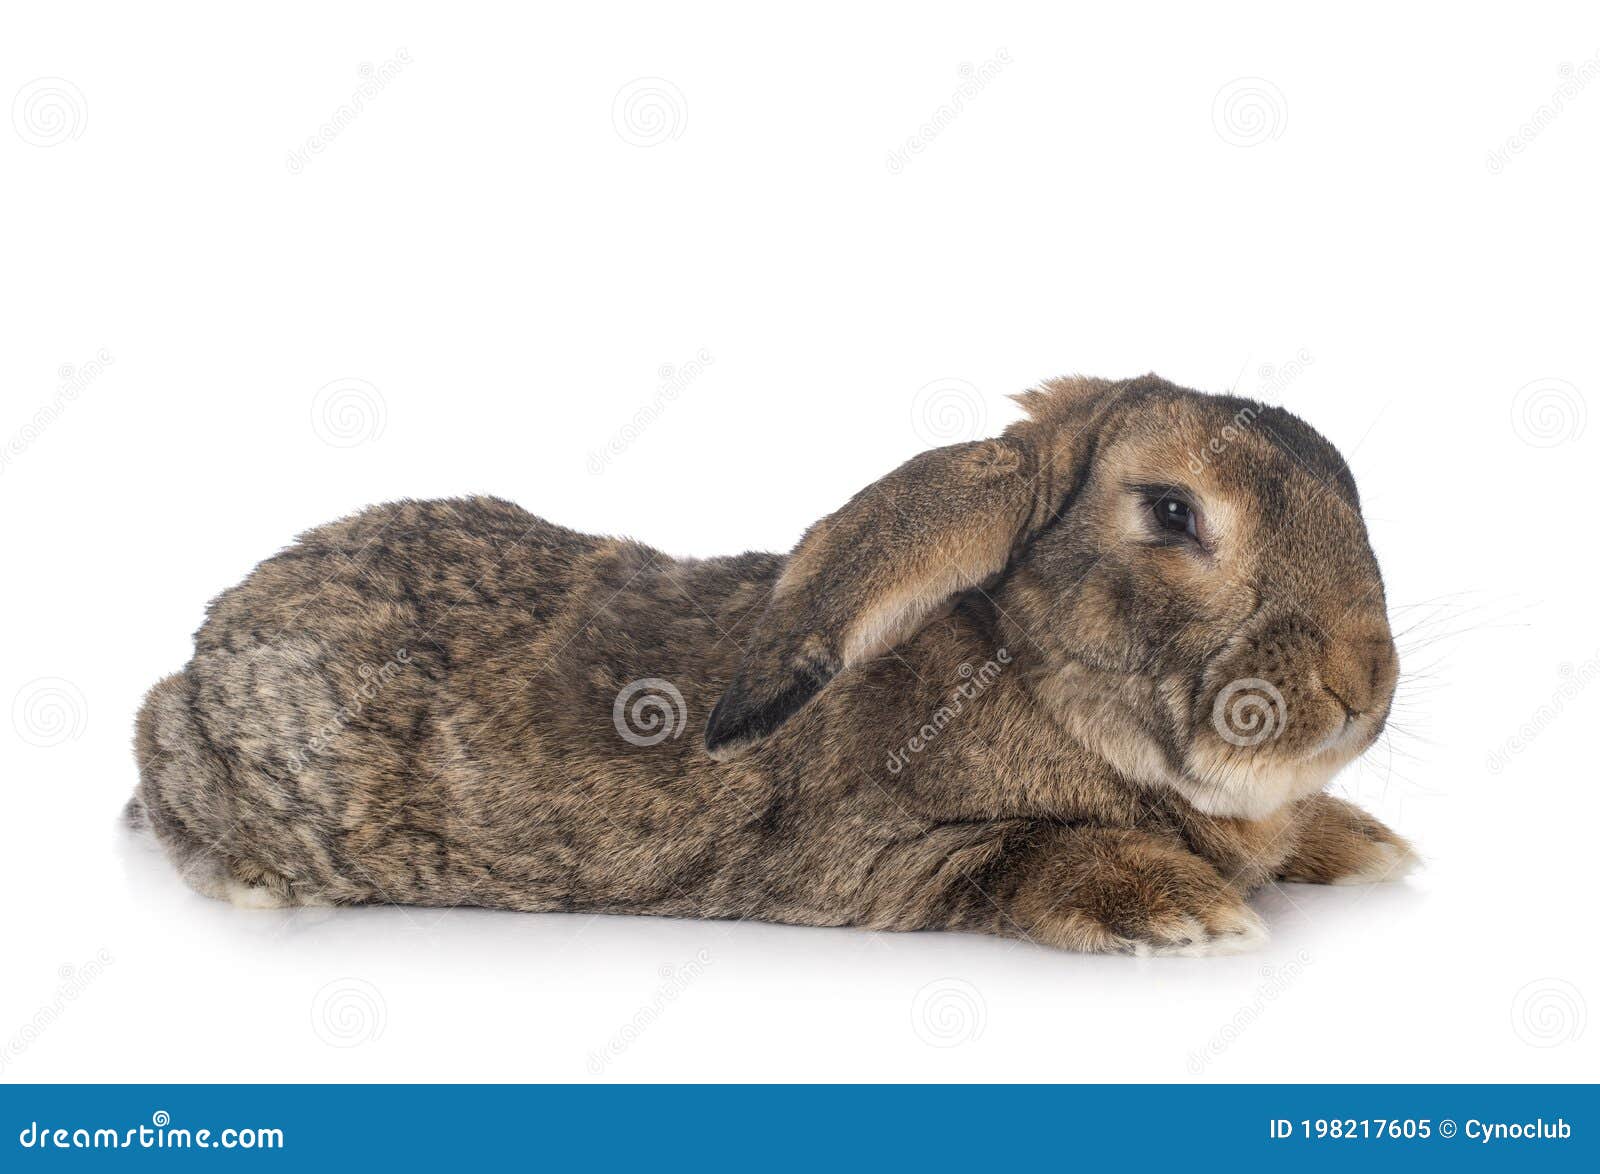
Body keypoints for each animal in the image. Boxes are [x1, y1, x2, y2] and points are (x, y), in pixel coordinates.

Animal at [130, 373, 1416, 955]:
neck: (1037, 677)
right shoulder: (899, 858)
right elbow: (1031, 855)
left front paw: (1368, 849)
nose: (1363, 692)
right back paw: (257, 882)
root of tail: (211, 638)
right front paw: (1187, 911)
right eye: (1172, 511)